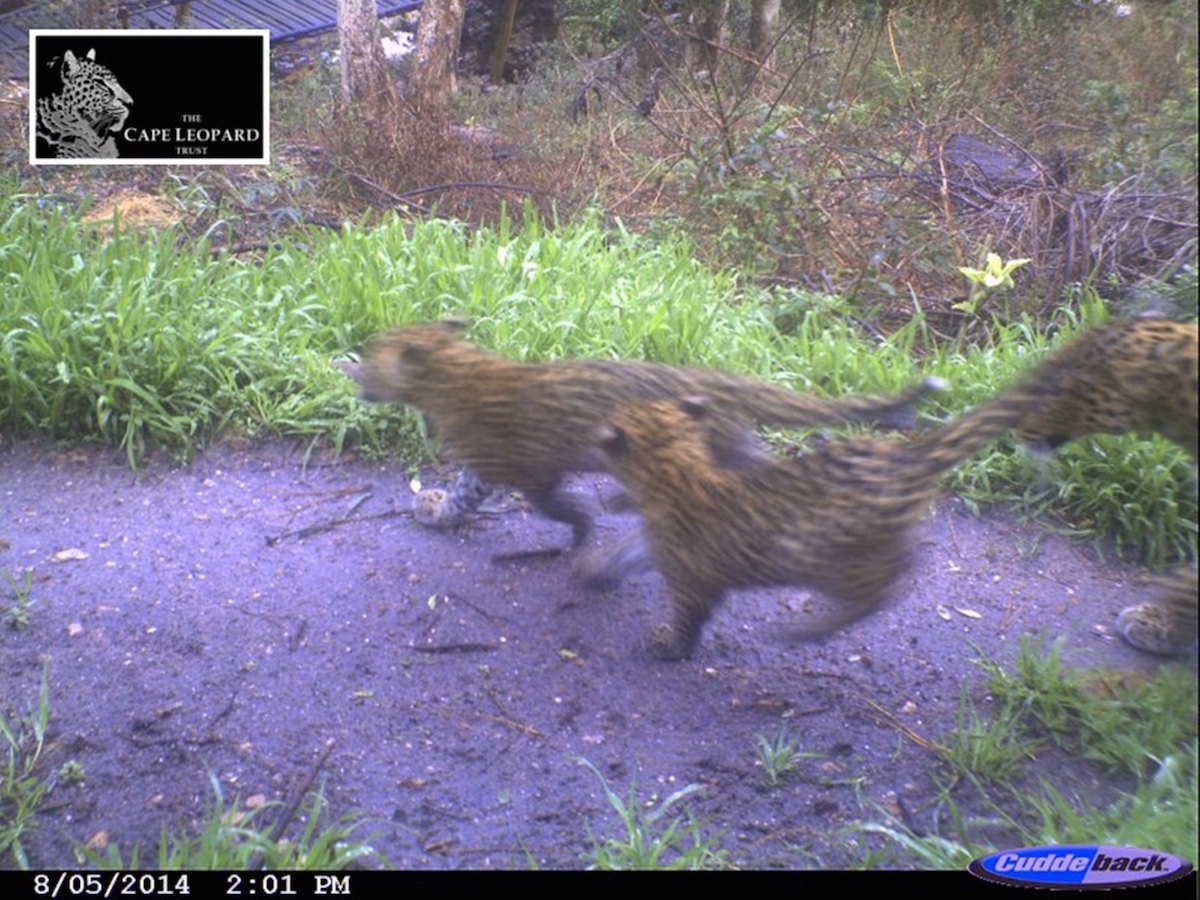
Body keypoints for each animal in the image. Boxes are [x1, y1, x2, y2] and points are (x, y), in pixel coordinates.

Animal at [354, 319, 943, 561]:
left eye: (373, 355)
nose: (354, 374)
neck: (453, 374)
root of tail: (722, 381)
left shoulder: (523, 467)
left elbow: (548, 505)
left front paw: (579, 527)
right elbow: (466, 493)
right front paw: (434, 507)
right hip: (733, 445)